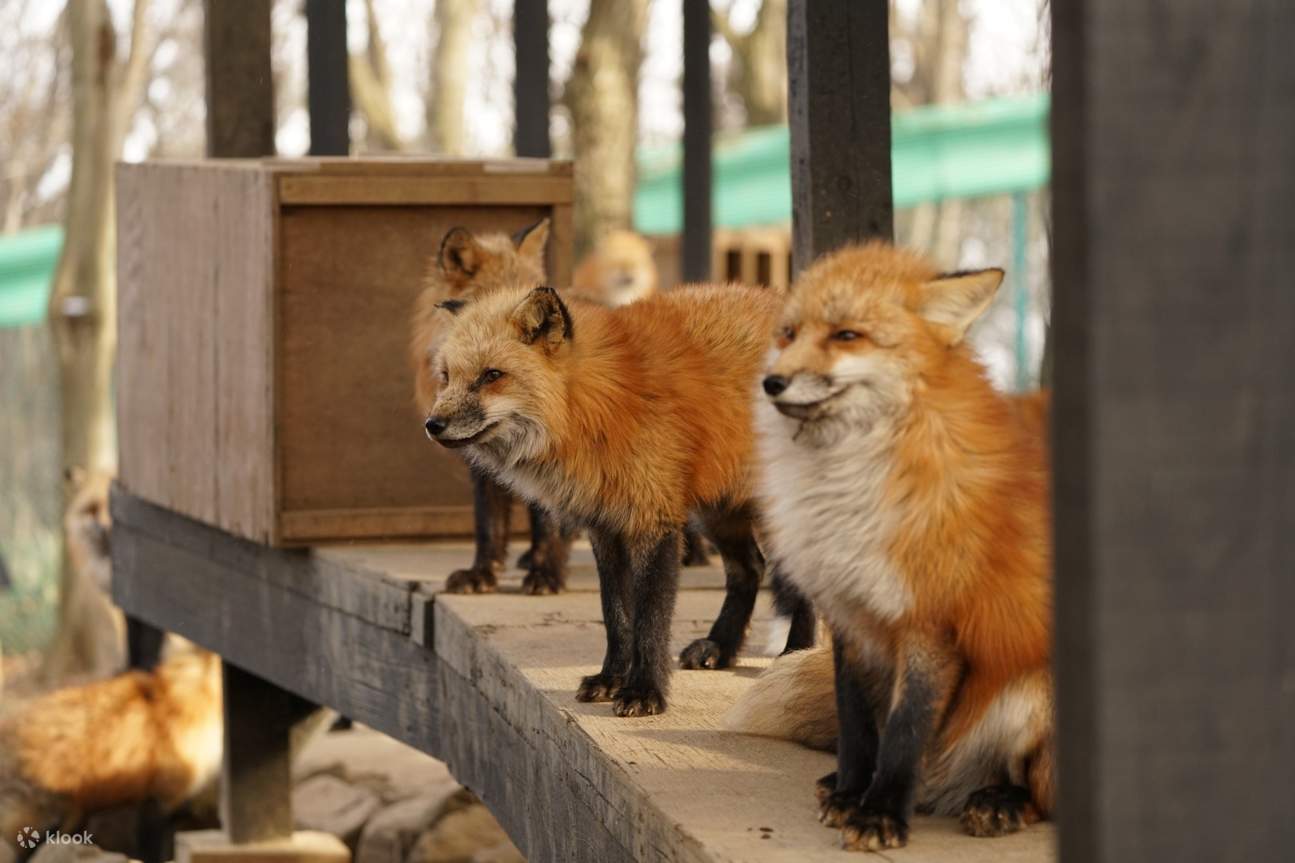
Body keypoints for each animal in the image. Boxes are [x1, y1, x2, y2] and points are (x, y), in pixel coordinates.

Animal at [422, 281, 792, 715]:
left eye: (492, 375)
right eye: (447, 377)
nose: (432, 424)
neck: (596, 402)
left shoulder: (653, 519)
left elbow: (649, 620)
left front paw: (644, 690)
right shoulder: (604, 525)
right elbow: (615, 616)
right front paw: (610, 679)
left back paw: (793, 656)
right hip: (716, 513)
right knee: (749, 569)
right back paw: (720, 646)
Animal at [728, 242, 1054, 852]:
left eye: (846, 336)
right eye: (789, 333)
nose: (771, 383)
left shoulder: (929, 623)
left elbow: (904, 729)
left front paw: (879, 813)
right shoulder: (848, 615)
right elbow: (858, 723)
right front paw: (851, 794)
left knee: (1045, 794)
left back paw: (1000, 802)